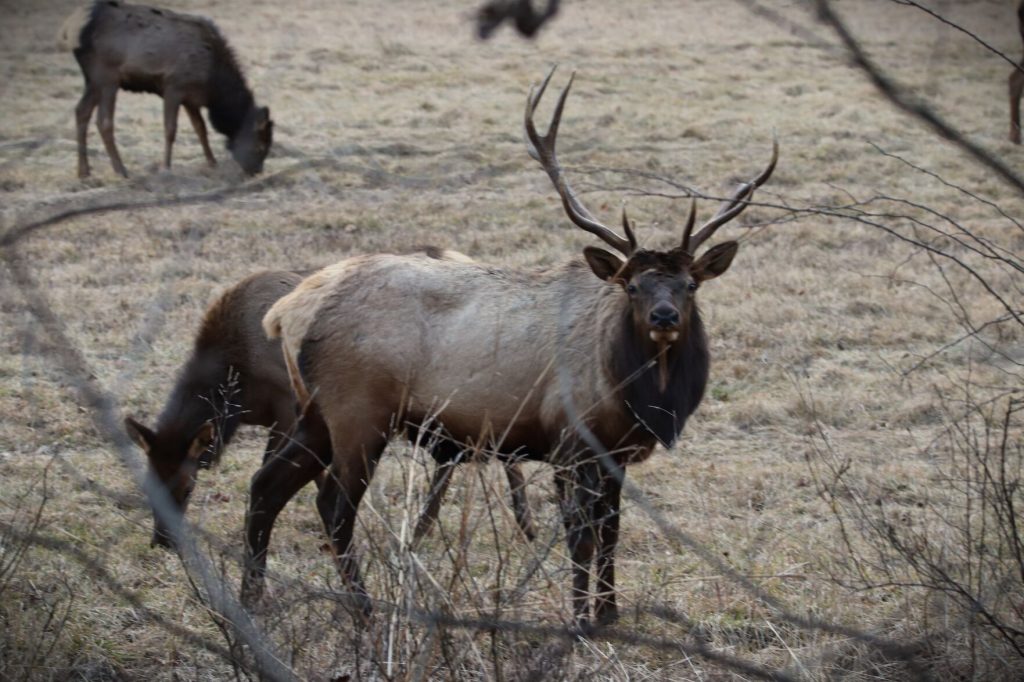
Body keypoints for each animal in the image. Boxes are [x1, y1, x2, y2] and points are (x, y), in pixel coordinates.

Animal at [57, 1, 272, 178]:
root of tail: (70, 28)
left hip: (93, 80)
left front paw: (212, 162)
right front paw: (166, 167)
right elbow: (170, 129)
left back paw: (83, 171)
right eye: (260, 146)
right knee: (103, 121)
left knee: (81, 111)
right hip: (107, 76)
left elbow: (200, 128)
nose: (256, 171)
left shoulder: (191, 98)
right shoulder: (173, 87)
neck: (213, 87)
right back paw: (121, 170)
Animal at [124, 260, 536, 557]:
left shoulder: (287, 409)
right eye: (147, 484)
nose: (162, 542)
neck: (234, 386)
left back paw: (523, 527)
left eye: (187, 487)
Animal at [257, 67, 777, 630]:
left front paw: (609, 614)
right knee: (332, 506)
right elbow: (581, 536)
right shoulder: (571, 439)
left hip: (312, 412)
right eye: (633, 286)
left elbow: (612, 531)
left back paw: (250, 598)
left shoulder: (614, 452)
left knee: (265, 487)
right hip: (358, 410)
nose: (665, 317)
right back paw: (366, 613)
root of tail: (286, 311)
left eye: (690, 284)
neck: (635, 398)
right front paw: (581, 621)